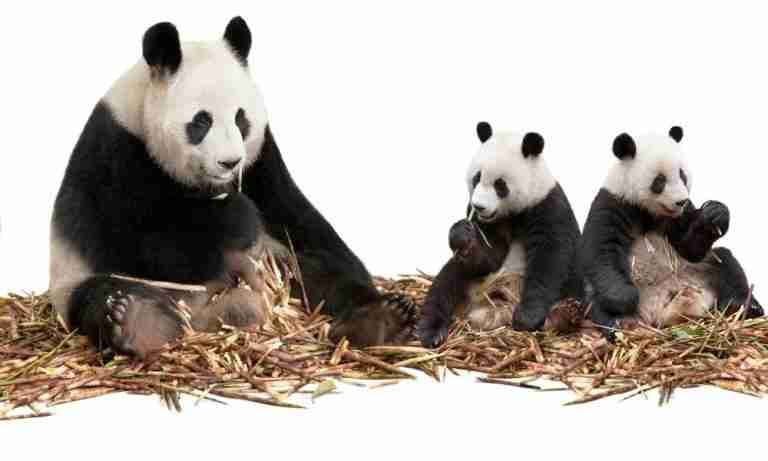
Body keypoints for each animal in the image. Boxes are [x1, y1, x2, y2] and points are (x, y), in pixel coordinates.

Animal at [49, 17, 416, 358]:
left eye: (241, 119)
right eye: (201, 121)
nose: (229, 162)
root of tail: (209, 318)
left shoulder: (261, 159)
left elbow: (295, 215)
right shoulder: (115, 153)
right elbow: (145, 242)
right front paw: (236, 216)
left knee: (317, 270)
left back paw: (380, 321)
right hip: (81, 282)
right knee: (103, 294)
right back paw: (138, 323)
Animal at [417, 122, 583, 347]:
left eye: (500, 185)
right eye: (477, 177)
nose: (479, 206)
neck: (512, 213)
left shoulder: (547, 206)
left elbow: (551, 257)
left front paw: (526, 318)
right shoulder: (490, 224)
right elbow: (489, 256)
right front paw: (462, 234)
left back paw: (561, 315)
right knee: (447, 281)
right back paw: (431, 332)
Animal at [578, 126, 763, 336]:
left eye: (682, 175)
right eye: (659, 180)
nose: (681, 201)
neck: (649, 211)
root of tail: (671, 313)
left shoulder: (680, 217)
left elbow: (690, 249)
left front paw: (715, 213)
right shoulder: (613, 204)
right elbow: (602, 251)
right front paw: (624, 297)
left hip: (701, 270)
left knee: (725, 263)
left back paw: (741, 307)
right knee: (595, 298)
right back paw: (625, 324)